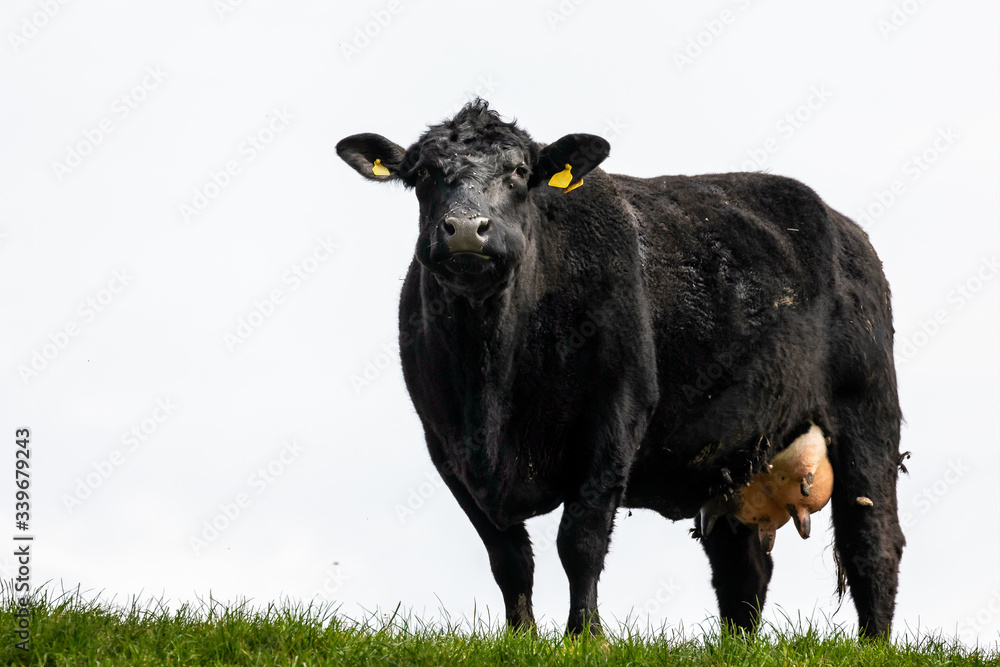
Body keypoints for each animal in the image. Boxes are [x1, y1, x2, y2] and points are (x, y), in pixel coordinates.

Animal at [336, 99, 905, 639]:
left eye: (519, 171)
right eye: (422, 174)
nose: (465, 231)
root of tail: (845, 228)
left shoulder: (614, 417)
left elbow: (580, 542)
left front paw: (585, 635)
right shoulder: (446, 445)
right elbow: (509, 558)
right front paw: (521, 637)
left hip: (867, 414)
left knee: (872, 540)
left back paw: (871, 644)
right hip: (734, 455)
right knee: (742, 569)